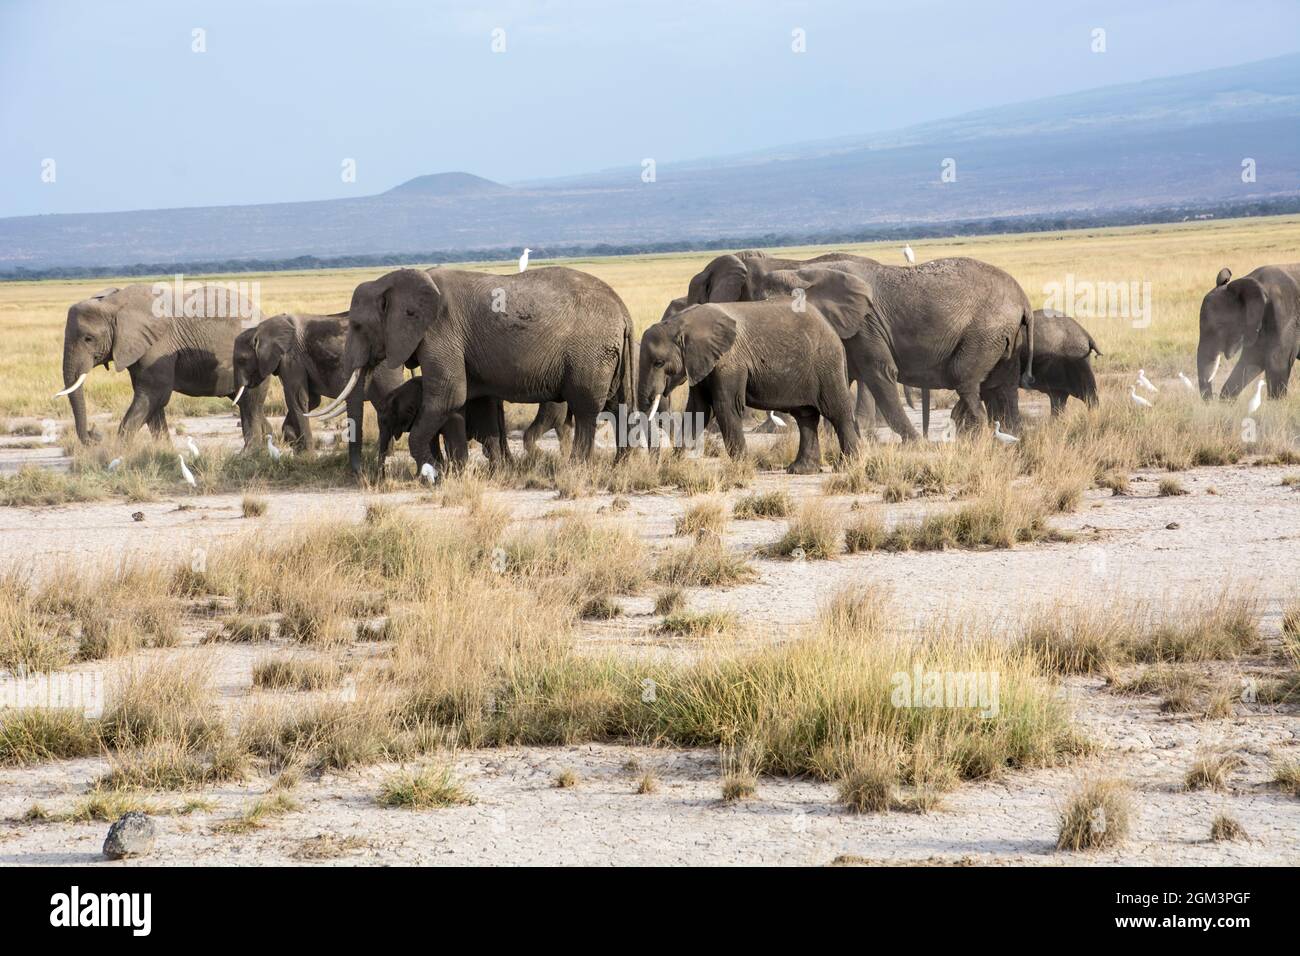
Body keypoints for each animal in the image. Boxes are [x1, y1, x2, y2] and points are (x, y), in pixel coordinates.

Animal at [56, 283, 270, 447]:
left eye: (88, 339)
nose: (94, 434)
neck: (113, 303)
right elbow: (152, 402)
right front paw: (164, 452)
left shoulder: (159, 346)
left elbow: (154, 394)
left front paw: (119, 455)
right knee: (245, 402)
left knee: (251, 403)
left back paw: (252, 451)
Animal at [231, 312, 405, 459]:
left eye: (241, 360)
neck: (259, 329)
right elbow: (312, 400)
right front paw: (293, 442)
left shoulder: (291, 358)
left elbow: (297, 398)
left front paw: (306, 456)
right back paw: (382, 454)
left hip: (385, 369)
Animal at [375, 376, 510, 470]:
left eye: (386, 421)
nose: (382, 478)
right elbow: (433, 442)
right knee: (490, 439)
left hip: (482, 409)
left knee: (486, 438)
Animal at [638, 270, 866, 473]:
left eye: (659, 363)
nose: (656, 463)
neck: (682, 322)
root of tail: (830, 329)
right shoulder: (701, 364)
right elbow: (698, 409)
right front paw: (674, 465)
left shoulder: (730, 361)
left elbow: (725, 407)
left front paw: (742, 468)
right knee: (805, 416)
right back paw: (801, 470)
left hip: (826, 363)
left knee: (836, 411)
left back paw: (847, 466)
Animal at [687, 250, 1036, 440]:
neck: (794, 268)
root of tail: (1024, 300)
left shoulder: (865, 324)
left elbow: (880, 373)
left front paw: (915, 445)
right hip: (1004, 337)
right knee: (1000, 386)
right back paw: (1008, 436)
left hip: (987, 329)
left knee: (965, 380)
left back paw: (976, 436)